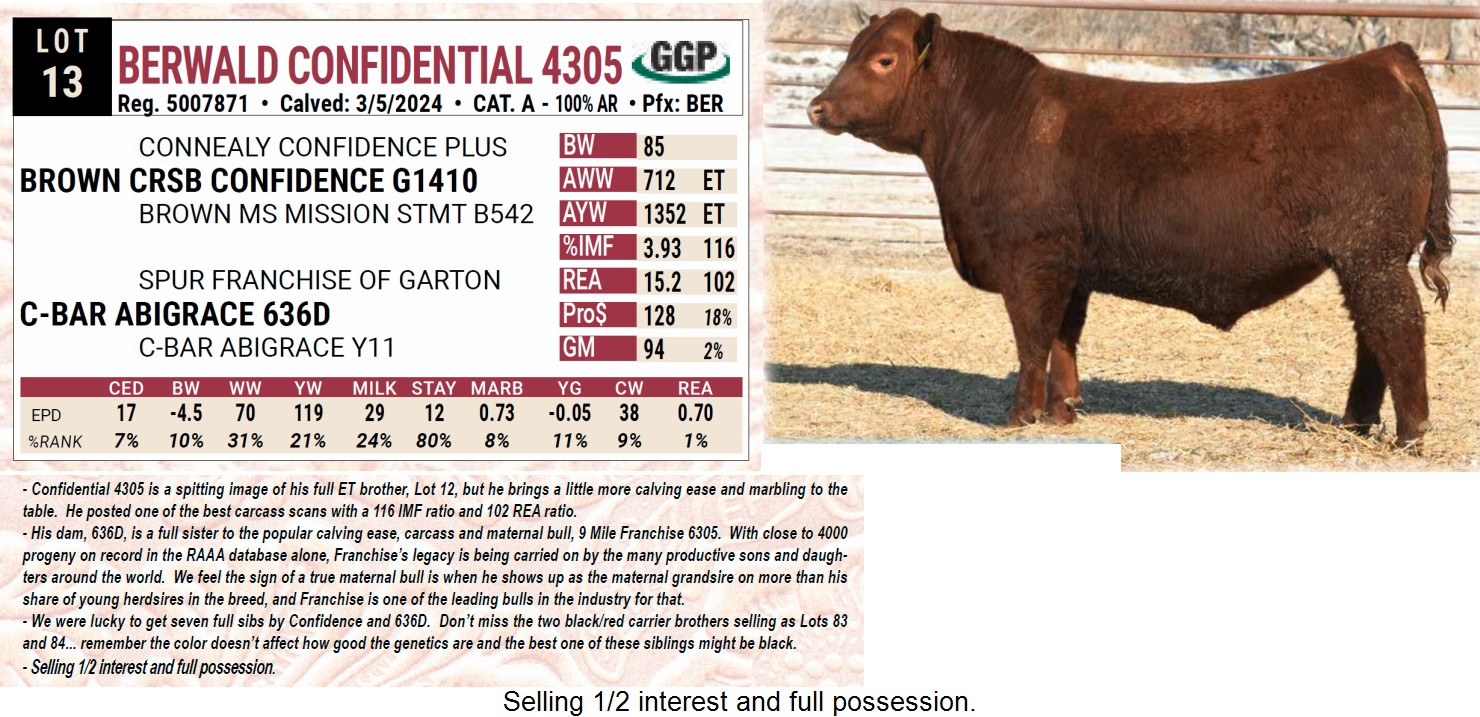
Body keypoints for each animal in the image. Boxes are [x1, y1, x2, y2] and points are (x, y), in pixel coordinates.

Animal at [807, 9, 1453, 448]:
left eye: (883, 60)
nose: (816, 108)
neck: (990, 122)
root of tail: (1388, 60)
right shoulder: (1070, 266)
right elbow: (1063, 339)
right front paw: (1063, 410)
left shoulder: (1029, 259)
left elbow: (1031, 338)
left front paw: (1019, 416)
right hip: (1364, 259)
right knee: (1371, 335)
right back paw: (1359, 423)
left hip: (1369, 252)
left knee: (1398, 327)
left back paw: (1410, 432)